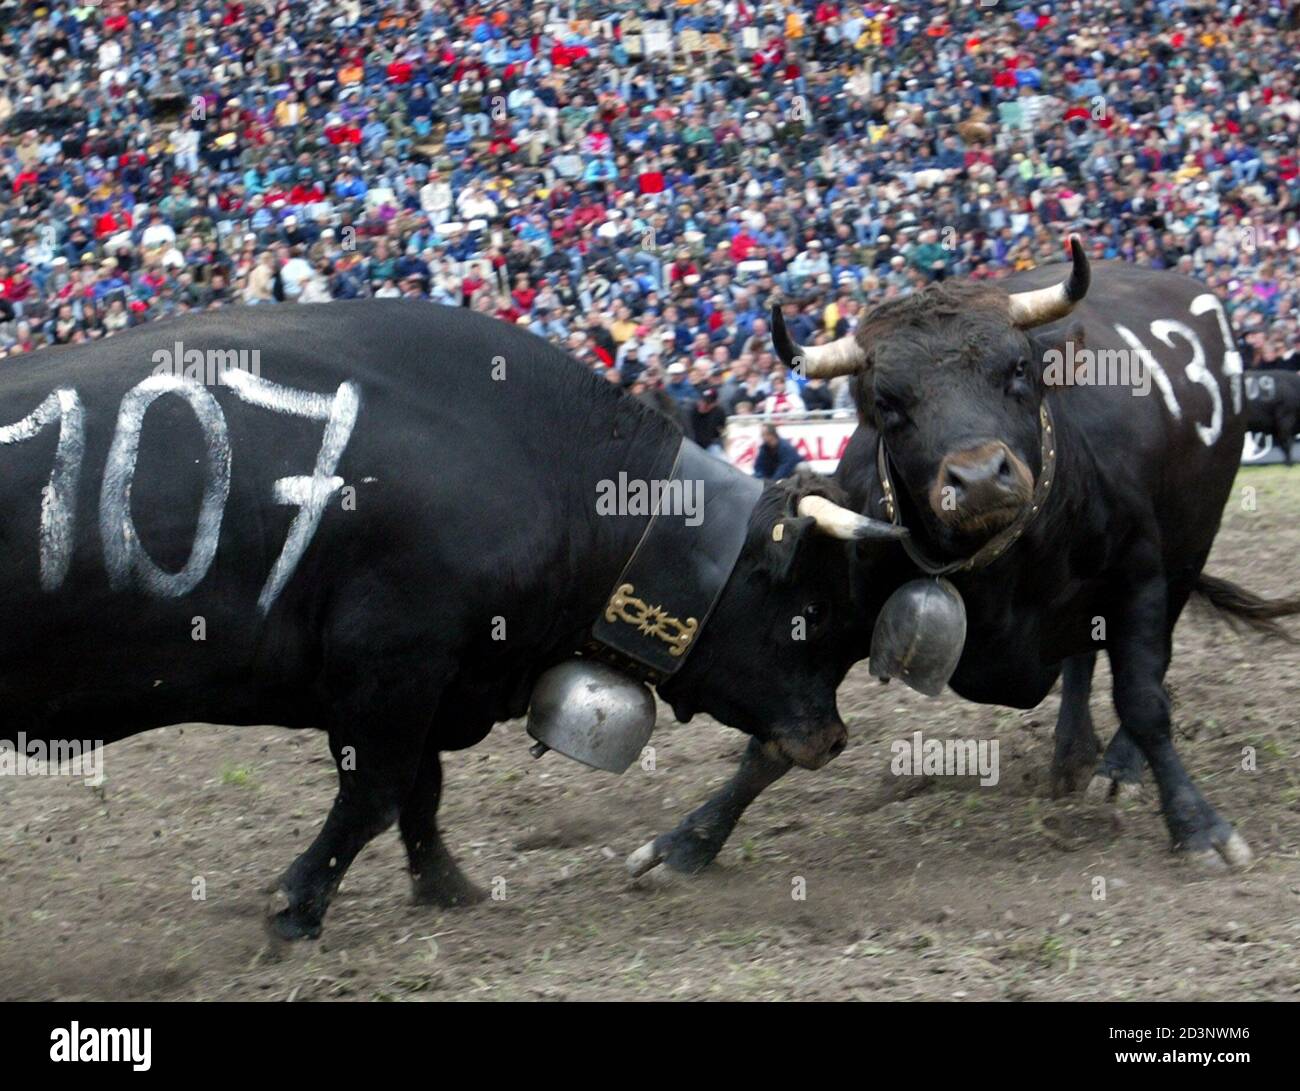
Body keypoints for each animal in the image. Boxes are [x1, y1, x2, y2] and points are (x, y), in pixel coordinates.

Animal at [0, 300, 901, 939]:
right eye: (811, 608)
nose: (827, 736)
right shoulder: (393, 664)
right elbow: (376, 793)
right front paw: (295, 907)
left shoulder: (434, 677)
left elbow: (419, 795)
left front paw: (449, 888)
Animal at [629, 237, 1300, 880]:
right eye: (887, 403)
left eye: (1018, 370)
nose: (977, 479)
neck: (1001, 563)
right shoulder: (842, 602)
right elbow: (778, 731)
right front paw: (688, 841)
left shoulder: (1139, 576)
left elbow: (1144, 700)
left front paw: (1197, 826)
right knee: (1082, 660)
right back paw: (1071, 754)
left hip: (1189, 548)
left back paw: (1115, 764)